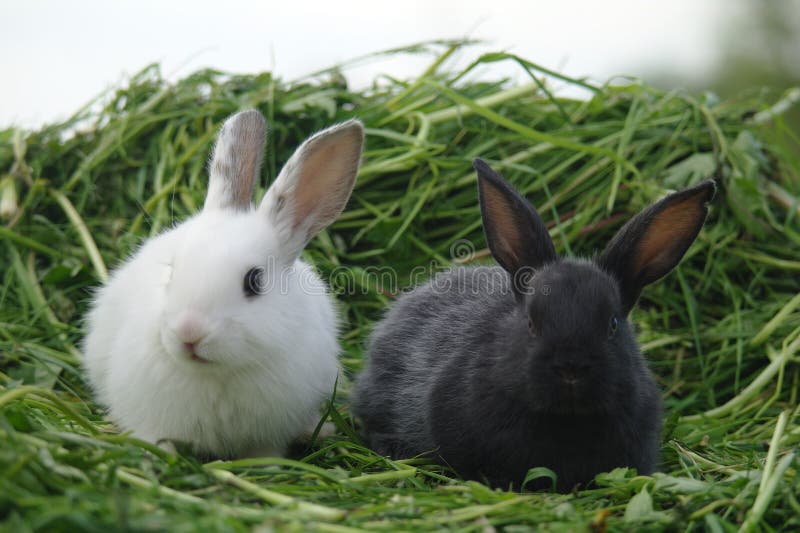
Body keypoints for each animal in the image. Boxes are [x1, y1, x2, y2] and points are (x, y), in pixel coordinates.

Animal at [83, 109, 364, 459]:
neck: (216, 372)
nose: (189, 333)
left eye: (254, 281)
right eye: (172, 271)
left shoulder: (268, 436)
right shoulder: (153, 422)